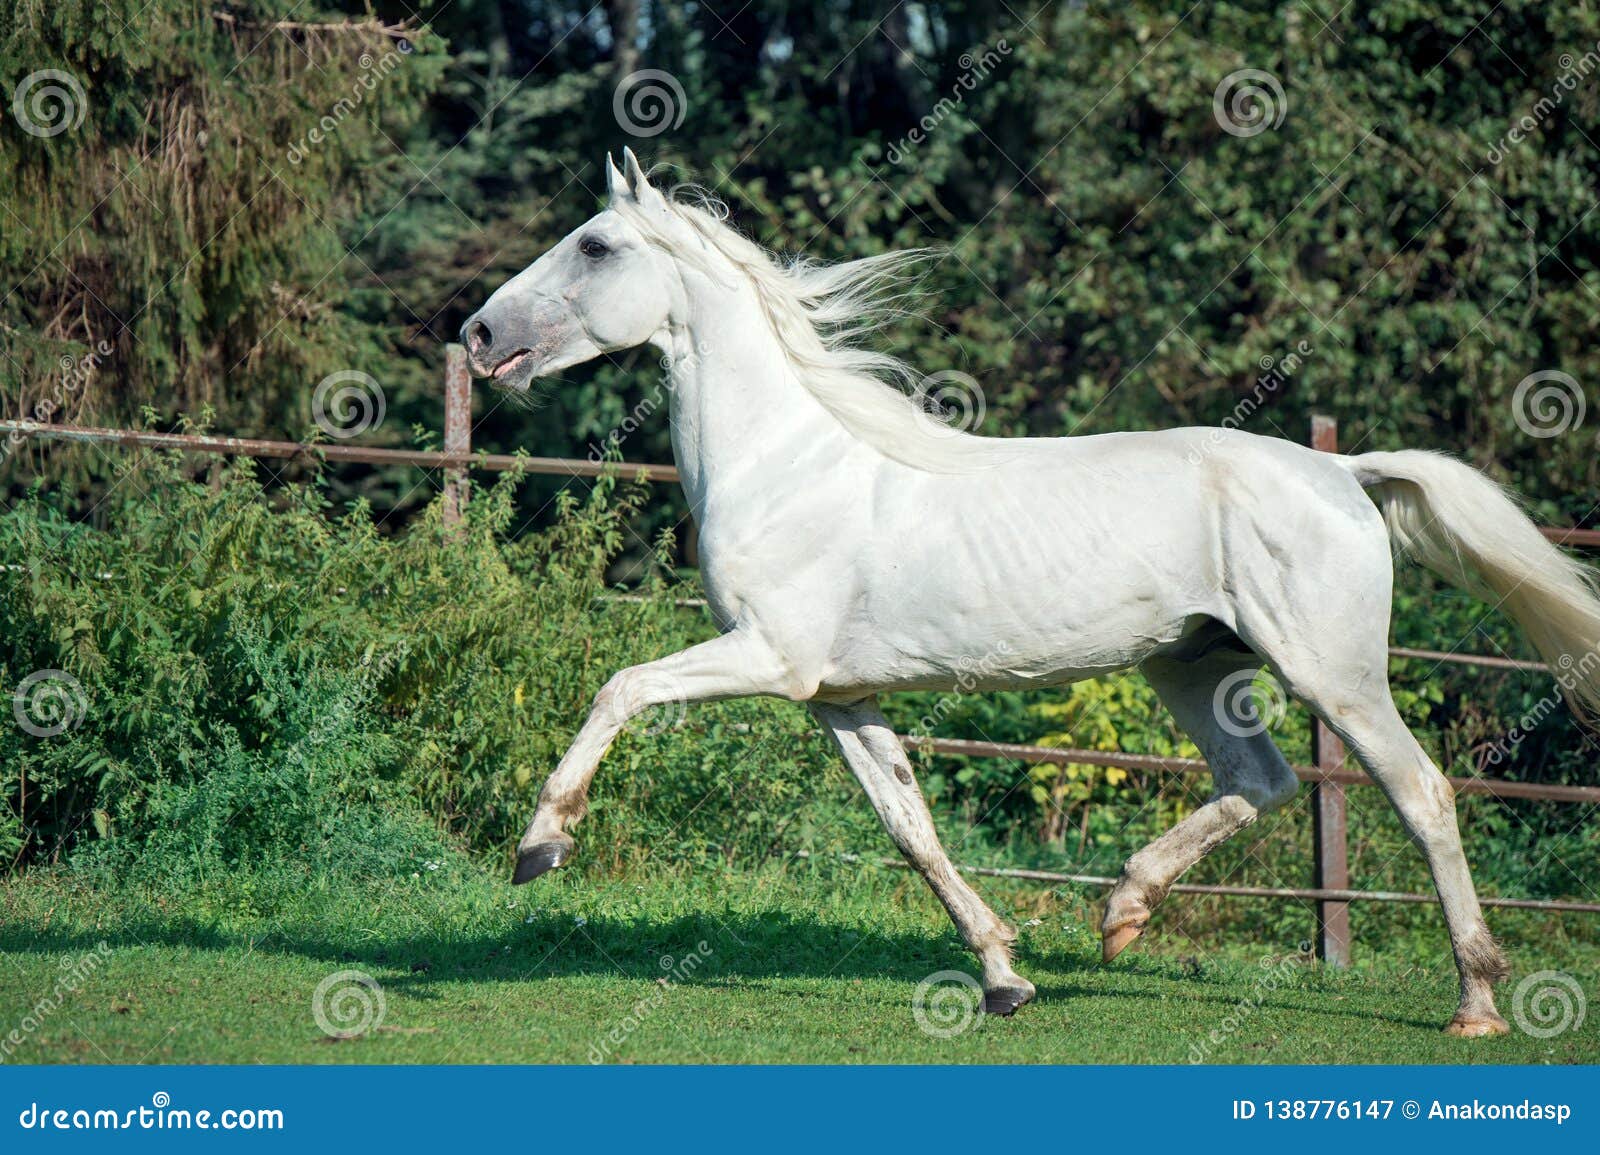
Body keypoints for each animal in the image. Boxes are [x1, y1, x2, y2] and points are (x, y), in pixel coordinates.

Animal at [460, 149, 1600, 1037]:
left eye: (595, 246)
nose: (475, 336)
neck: (789, 464)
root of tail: (1341, 468)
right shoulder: (838, 698)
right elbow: (911, 829)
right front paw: (1006, 976)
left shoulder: (768, 660)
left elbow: (619, 686)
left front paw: (540, 844)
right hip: (1192, 664)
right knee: (1262, 779)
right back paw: (1122, 912)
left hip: (1334, 673)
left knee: (1422, 792)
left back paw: (1476, 1002)